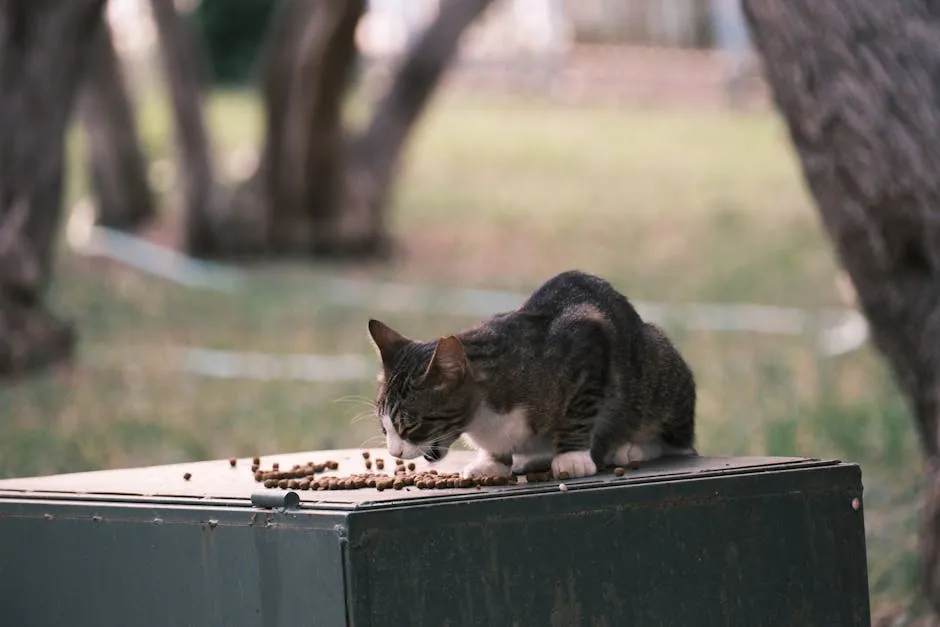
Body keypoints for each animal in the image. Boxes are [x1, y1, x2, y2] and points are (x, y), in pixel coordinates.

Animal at [368, 270, 696, 480]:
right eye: (385, 428)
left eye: (411, 425)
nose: (395, 452)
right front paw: (491, 461)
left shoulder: (588, 338)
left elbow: (579, 410)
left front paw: (571, 456)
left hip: (657, 367)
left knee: (675, 440)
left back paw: (633, 447)